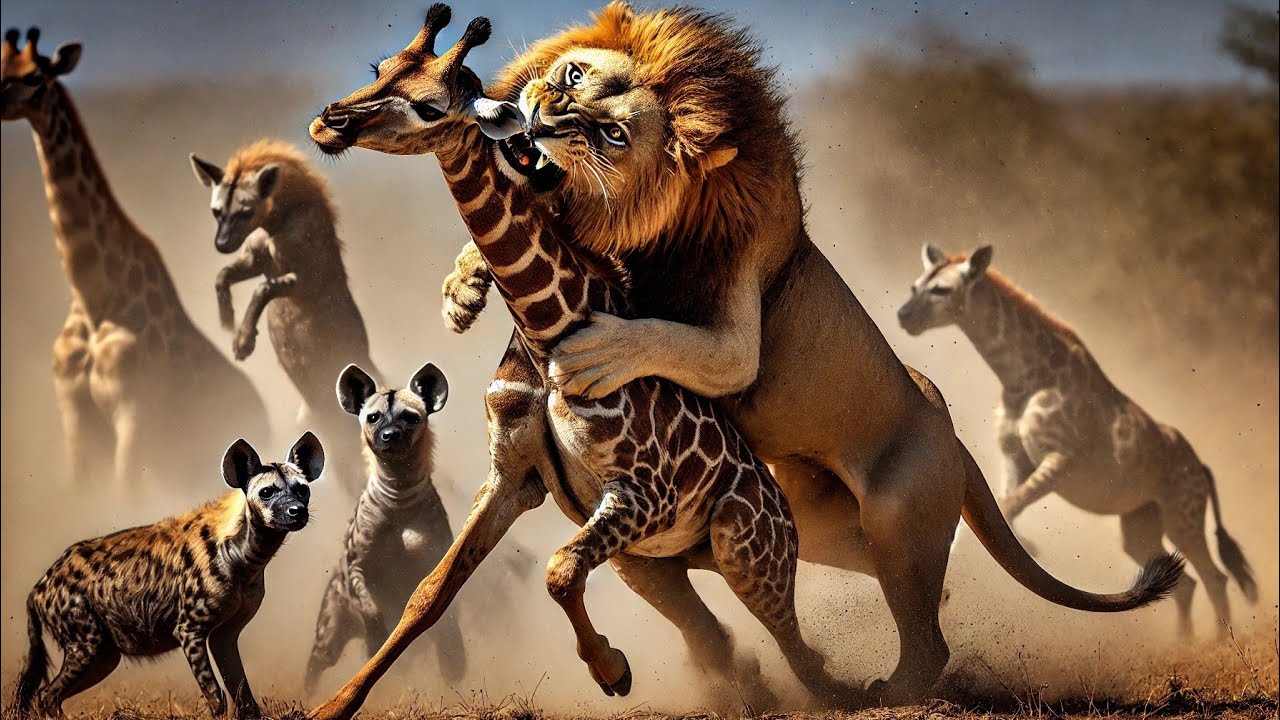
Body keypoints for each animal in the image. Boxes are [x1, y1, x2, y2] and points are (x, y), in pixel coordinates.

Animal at [189, 139, 380, 496]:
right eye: (216, 211)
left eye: (245, 211)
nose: (221, 243)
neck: (281, 221)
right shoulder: (254, 260)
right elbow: (224, 276)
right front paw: (226, 320)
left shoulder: (301, 281)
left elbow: (262, 289)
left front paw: (243, 341)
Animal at [305, 9, 857, 716]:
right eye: (381, 68)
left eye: (430, 107)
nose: (329, 122)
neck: (544, 331)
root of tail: (782, 510)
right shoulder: (511, 477)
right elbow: (428, 594)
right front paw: (334, 705)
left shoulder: (643, 490)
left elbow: (558, 571)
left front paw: (612, 670)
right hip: (650, 565)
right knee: (711, 634)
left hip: (744, 548)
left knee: (798, 649)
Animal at [441, 1, 1185, 702]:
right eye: (573, 76)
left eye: (613, 134)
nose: (543, 112)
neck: (634, 218)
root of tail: (952, 439)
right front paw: (461, 289)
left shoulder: (738, 334)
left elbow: (664, 336)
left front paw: (592, 350)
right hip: (827, 526)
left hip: (897, 517)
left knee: (928, 642)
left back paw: (889, 691)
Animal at [898, 243, 1258, 637]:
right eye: (916, 285)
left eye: (941, 290)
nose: (903, 316)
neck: (1023, 379)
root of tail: (1201, 465)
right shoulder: (1014, 456)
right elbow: (1007, 506)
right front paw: (1023, 547)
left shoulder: (1059, 460)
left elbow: (1009, 505)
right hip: (1140, 526)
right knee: (1187, 581)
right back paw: (1184, 643)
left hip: (1183, 518)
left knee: (1214, 577)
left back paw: (1219, 643)